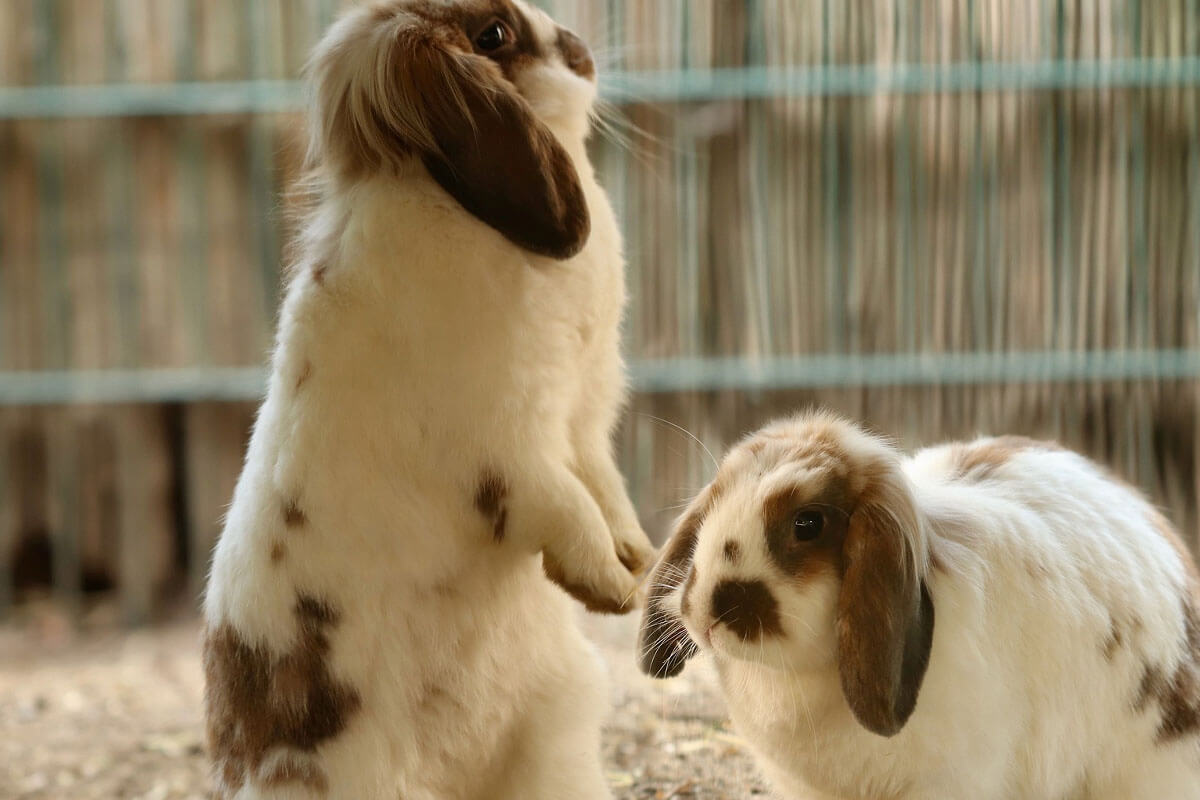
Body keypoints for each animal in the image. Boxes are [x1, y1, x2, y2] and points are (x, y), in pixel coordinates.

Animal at [202, 2, 655, 798]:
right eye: (493, 36)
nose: (580, 50)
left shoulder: (582, 423)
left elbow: (605, 487)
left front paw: (638, 558)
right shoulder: (508, 449)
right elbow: (566, 506)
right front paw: (609, 589)